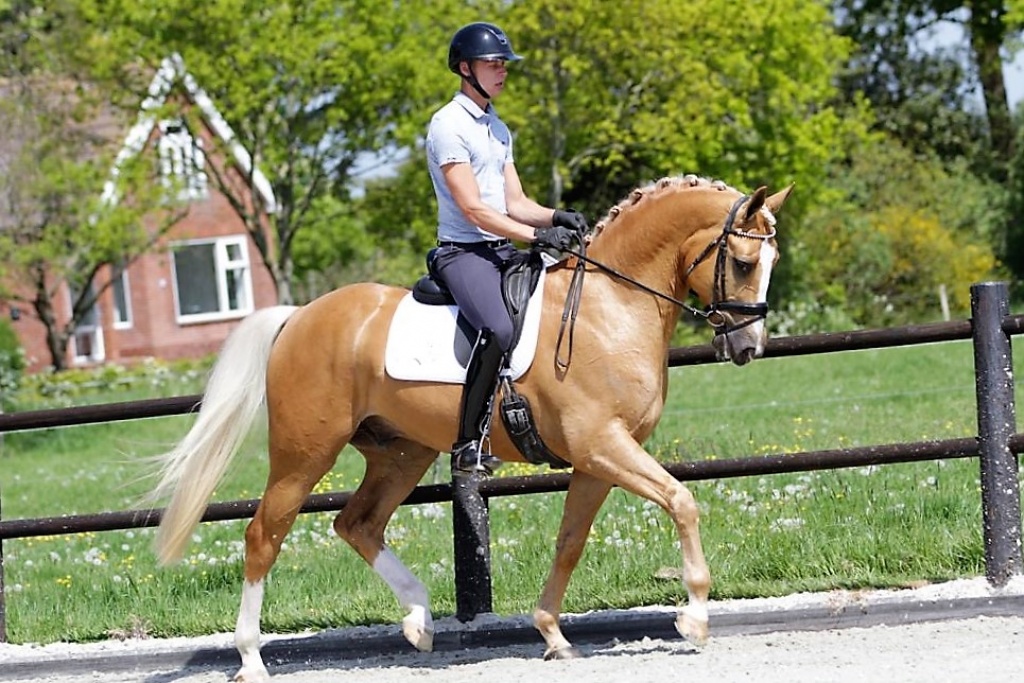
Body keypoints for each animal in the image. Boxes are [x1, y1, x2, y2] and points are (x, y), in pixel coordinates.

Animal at [148, 174, 792, 682]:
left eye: (772, 263)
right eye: (742, 263)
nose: (747, 347)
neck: (608, 306)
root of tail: (299, 316)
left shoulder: (598, 459)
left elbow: (570, 541)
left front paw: (552, 633)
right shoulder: (601, 445)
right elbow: (682, 500)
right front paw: (695, 615)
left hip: (399, 453)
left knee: (358, 524)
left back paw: (418, 621)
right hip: (304, 452)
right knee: (266, 533)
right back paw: (251, 658)